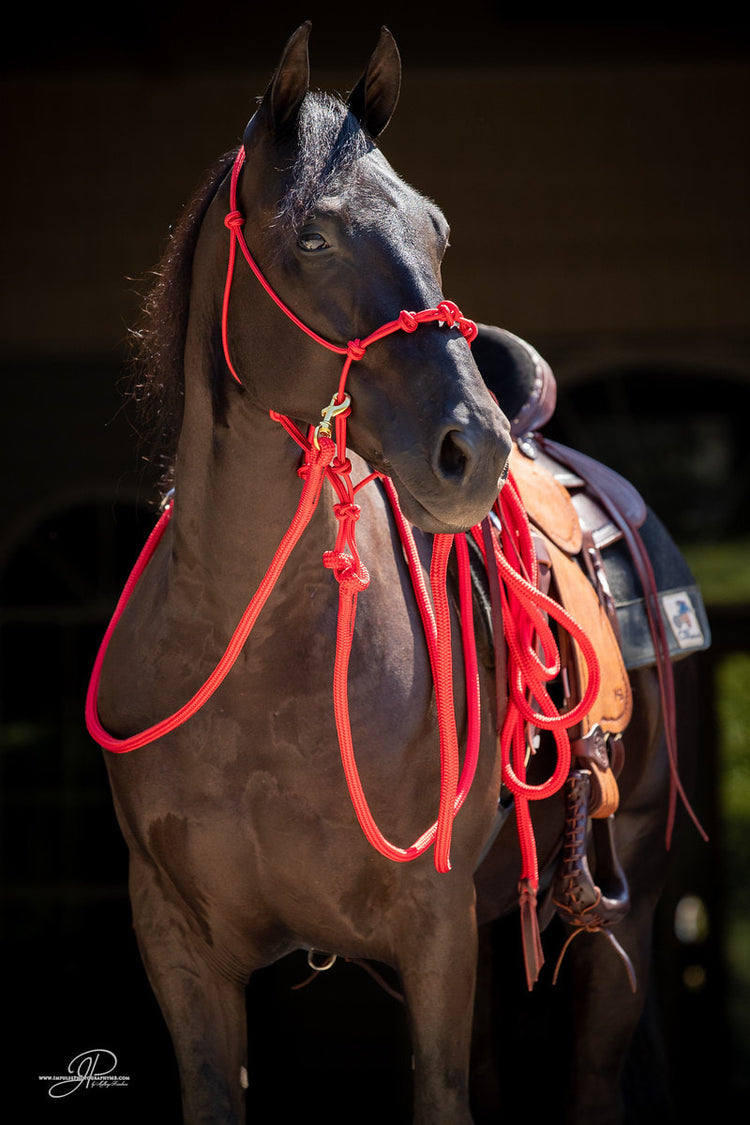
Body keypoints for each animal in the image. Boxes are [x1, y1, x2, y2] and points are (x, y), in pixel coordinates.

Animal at [86, 24, 707, 1125]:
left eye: (437, 231)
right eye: (312, 238)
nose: (476, 448)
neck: (257, 654)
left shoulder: (435, 927)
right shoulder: (178, 946)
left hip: (617, 916)